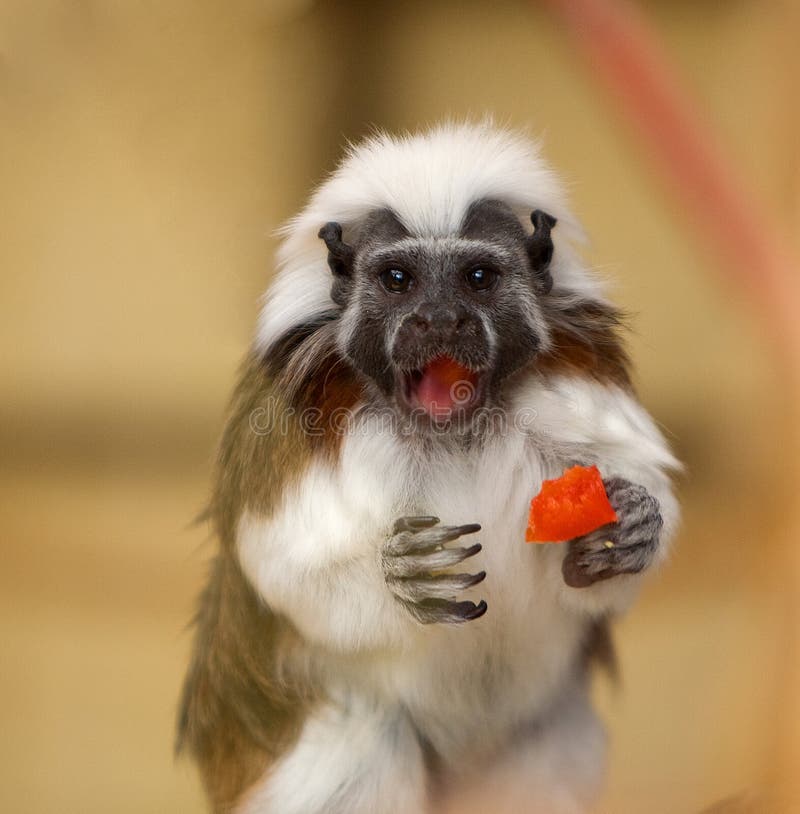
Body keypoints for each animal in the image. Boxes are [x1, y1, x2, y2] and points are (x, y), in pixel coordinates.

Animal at [177, 122, 680, 814]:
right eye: (398, 279)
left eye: (477, 277)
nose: (440, 321)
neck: (452, 436)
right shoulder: (281, 429)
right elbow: (283, 566)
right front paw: (398, 575)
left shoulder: (581, 383)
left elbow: (618, 547)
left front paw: (631, 527)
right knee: (364, 740)